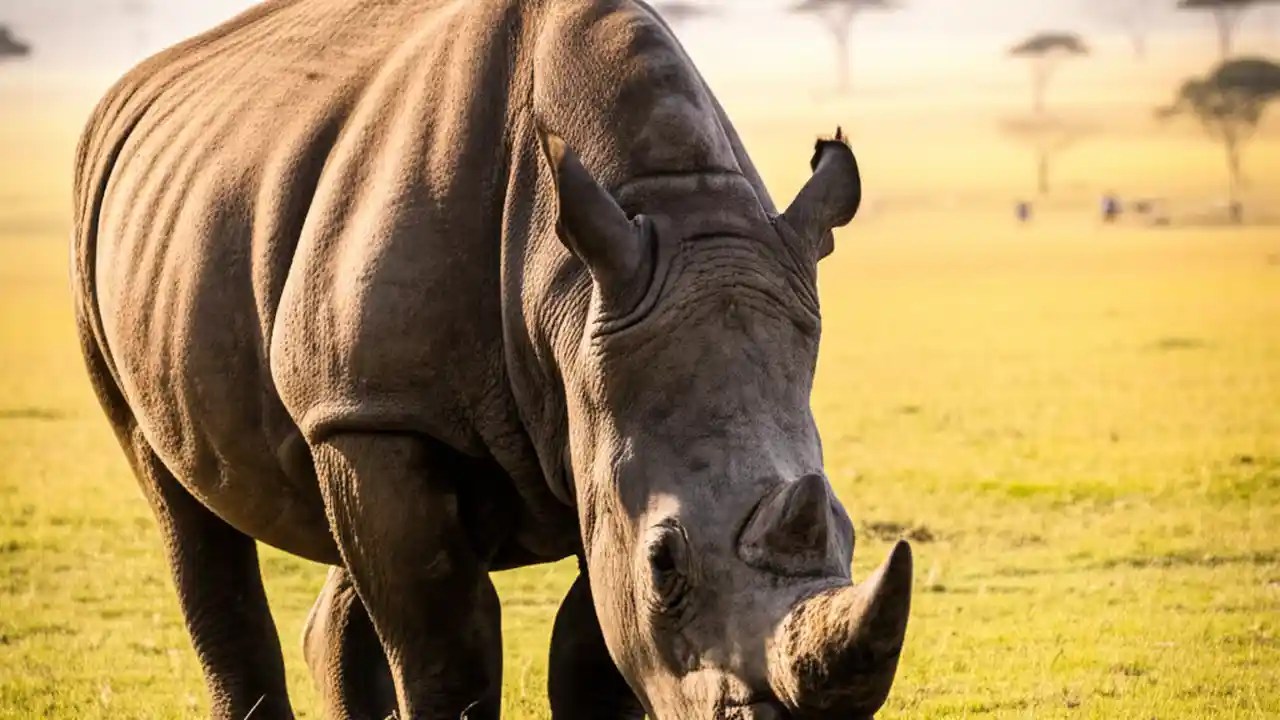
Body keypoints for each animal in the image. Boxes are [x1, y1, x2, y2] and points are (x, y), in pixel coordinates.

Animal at [71, 0, 912, 718]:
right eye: (664, 564)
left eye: (846, 533)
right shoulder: (387, 408)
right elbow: (448, 645)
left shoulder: (590, 428)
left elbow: (589, 650)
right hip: (114, 239)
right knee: (181, 503)